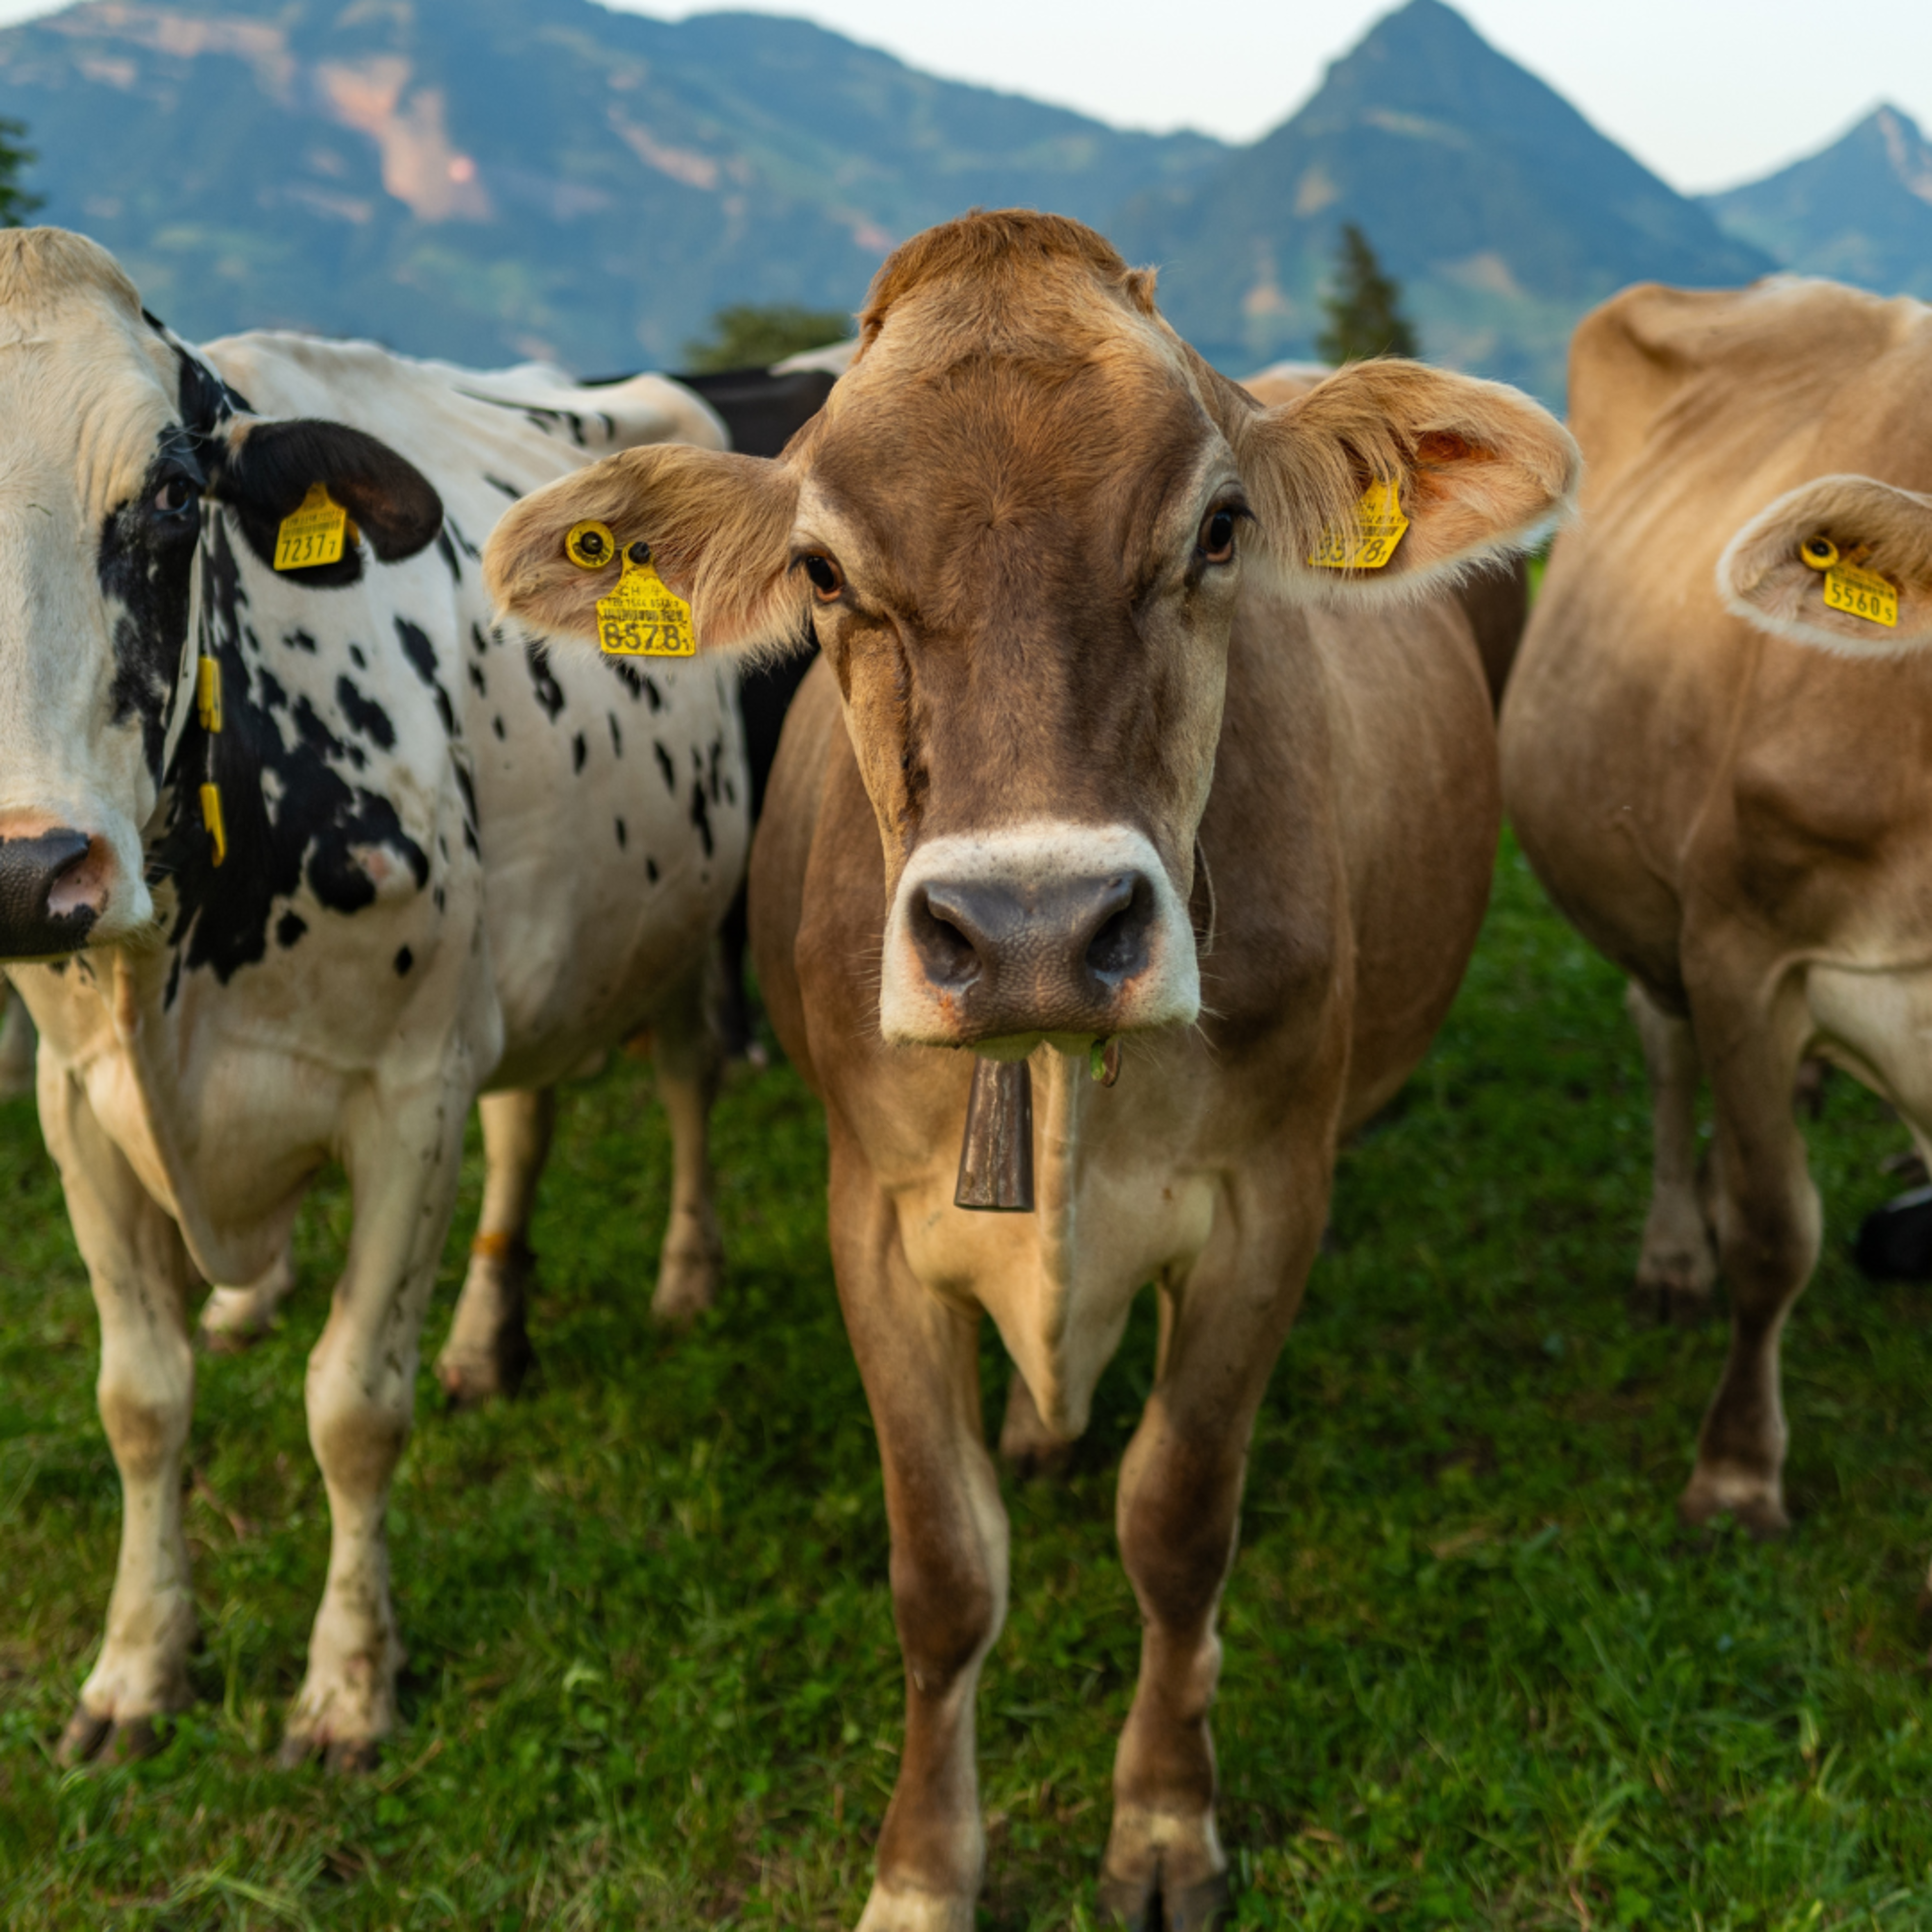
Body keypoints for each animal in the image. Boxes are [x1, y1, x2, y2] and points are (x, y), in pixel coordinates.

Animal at [0, 226, 749, 1767]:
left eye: (176, 496)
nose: (30, 869)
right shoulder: (76, 1106)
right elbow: (139, 1399)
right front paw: (135, 1668)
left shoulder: (407, 1092)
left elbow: (352, 1404)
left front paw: (348, 1685)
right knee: (527, 1122)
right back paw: (482, 1334)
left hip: (688, 912)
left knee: (688, 1073)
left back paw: (686, 1274)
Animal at [484, 210, 1577, 1929]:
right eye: (823, 570)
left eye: (1217, 530)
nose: (1033, 930)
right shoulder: (871, 1220)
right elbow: (943, 1572)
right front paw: (925, 1869)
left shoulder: (1267, 1204)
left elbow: (1178, 1523)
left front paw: (1163, 1825)